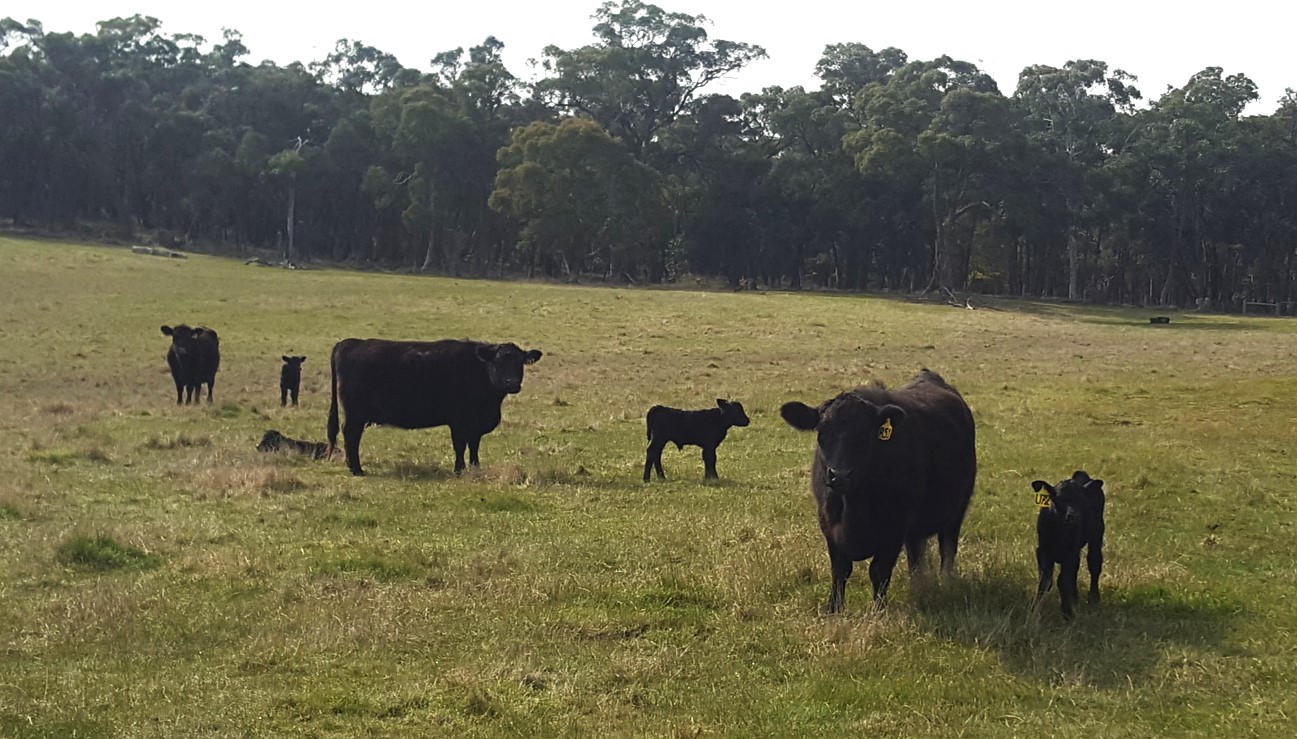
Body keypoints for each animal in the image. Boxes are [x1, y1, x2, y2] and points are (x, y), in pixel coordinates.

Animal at [326, 338, 542, 476]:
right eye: (498, 361)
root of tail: (349, 342)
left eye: (520, 363)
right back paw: (356, 469)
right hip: (355, 414)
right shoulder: (458, 421)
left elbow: (474, 446)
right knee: (351, 435)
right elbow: (460, 445)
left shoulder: (474, 424)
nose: (512, 383)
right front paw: (459, 470)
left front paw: (475, 468)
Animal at [780, 369, 977, 614]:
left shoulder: (894, 529)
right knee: (916, 555)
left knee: (947, 549)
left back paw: (946, 584)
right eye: (821, 433)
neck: (853, 506)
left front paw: (879, 611)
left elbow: (879, 572)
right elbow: (840, 571)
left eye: (865, 435)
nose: (840, 475)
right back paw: (918, 586)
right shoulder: (828, 526)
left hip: (956, 511)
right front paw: (834, 609)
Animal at [1031, 470, 1106, 619]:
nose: (1074, 516)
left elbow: (1063, 580)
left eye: (1082, 500)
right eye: (1058, 499)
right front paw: (1036, 610)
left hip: (1097, 534)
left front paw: (1067, 612)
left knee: (1094, 563)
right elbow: (1045, 580)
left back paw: (1093, 597)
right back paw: (1075, 597)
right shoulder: (1043, 551)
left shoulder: (1070, 553)